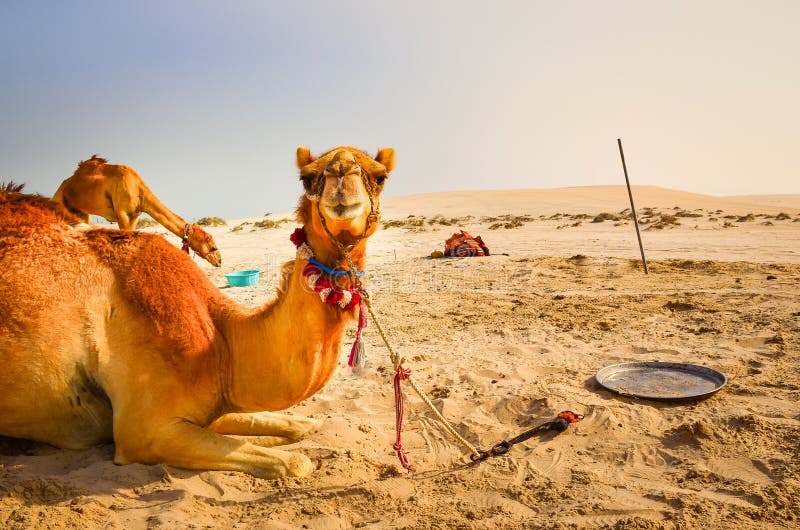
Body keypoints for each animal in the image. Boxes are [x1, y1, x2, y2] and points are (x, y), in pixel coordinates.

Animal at [52, 155, 222, 267]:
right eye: (211, 245)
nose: (219, 260)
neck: (139, 190)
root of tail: (64, 185)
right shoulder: (122, 213)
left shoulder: (135, 215)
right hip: (59, 200)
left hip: (81, 212)